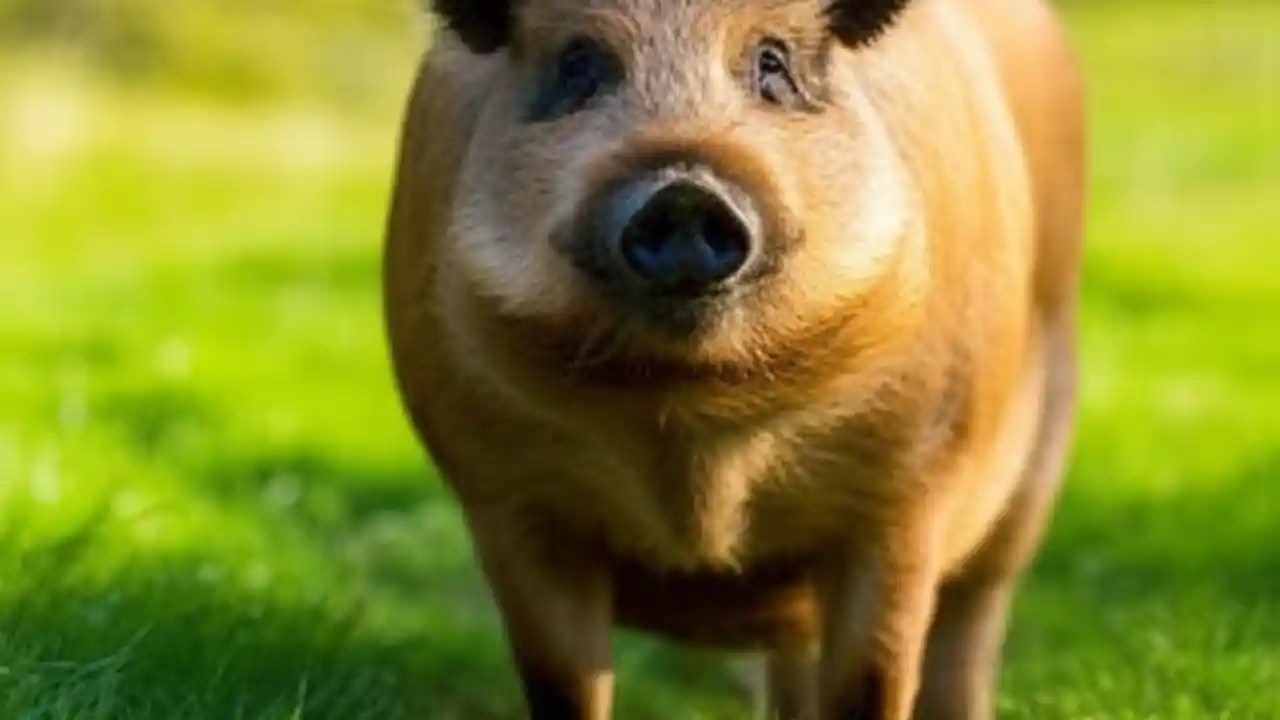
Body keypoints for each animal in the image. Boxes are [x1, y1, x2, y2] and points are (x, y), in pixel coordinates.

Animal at [383, 0, 1084, 717]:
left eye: (772, 64)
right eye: (579, 65)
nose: (684, 193)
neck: (692, 439)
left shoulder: (907, 488)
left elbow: (873, 680)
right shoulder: (504, 496)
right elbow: (564, 683)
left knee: (972, 624)